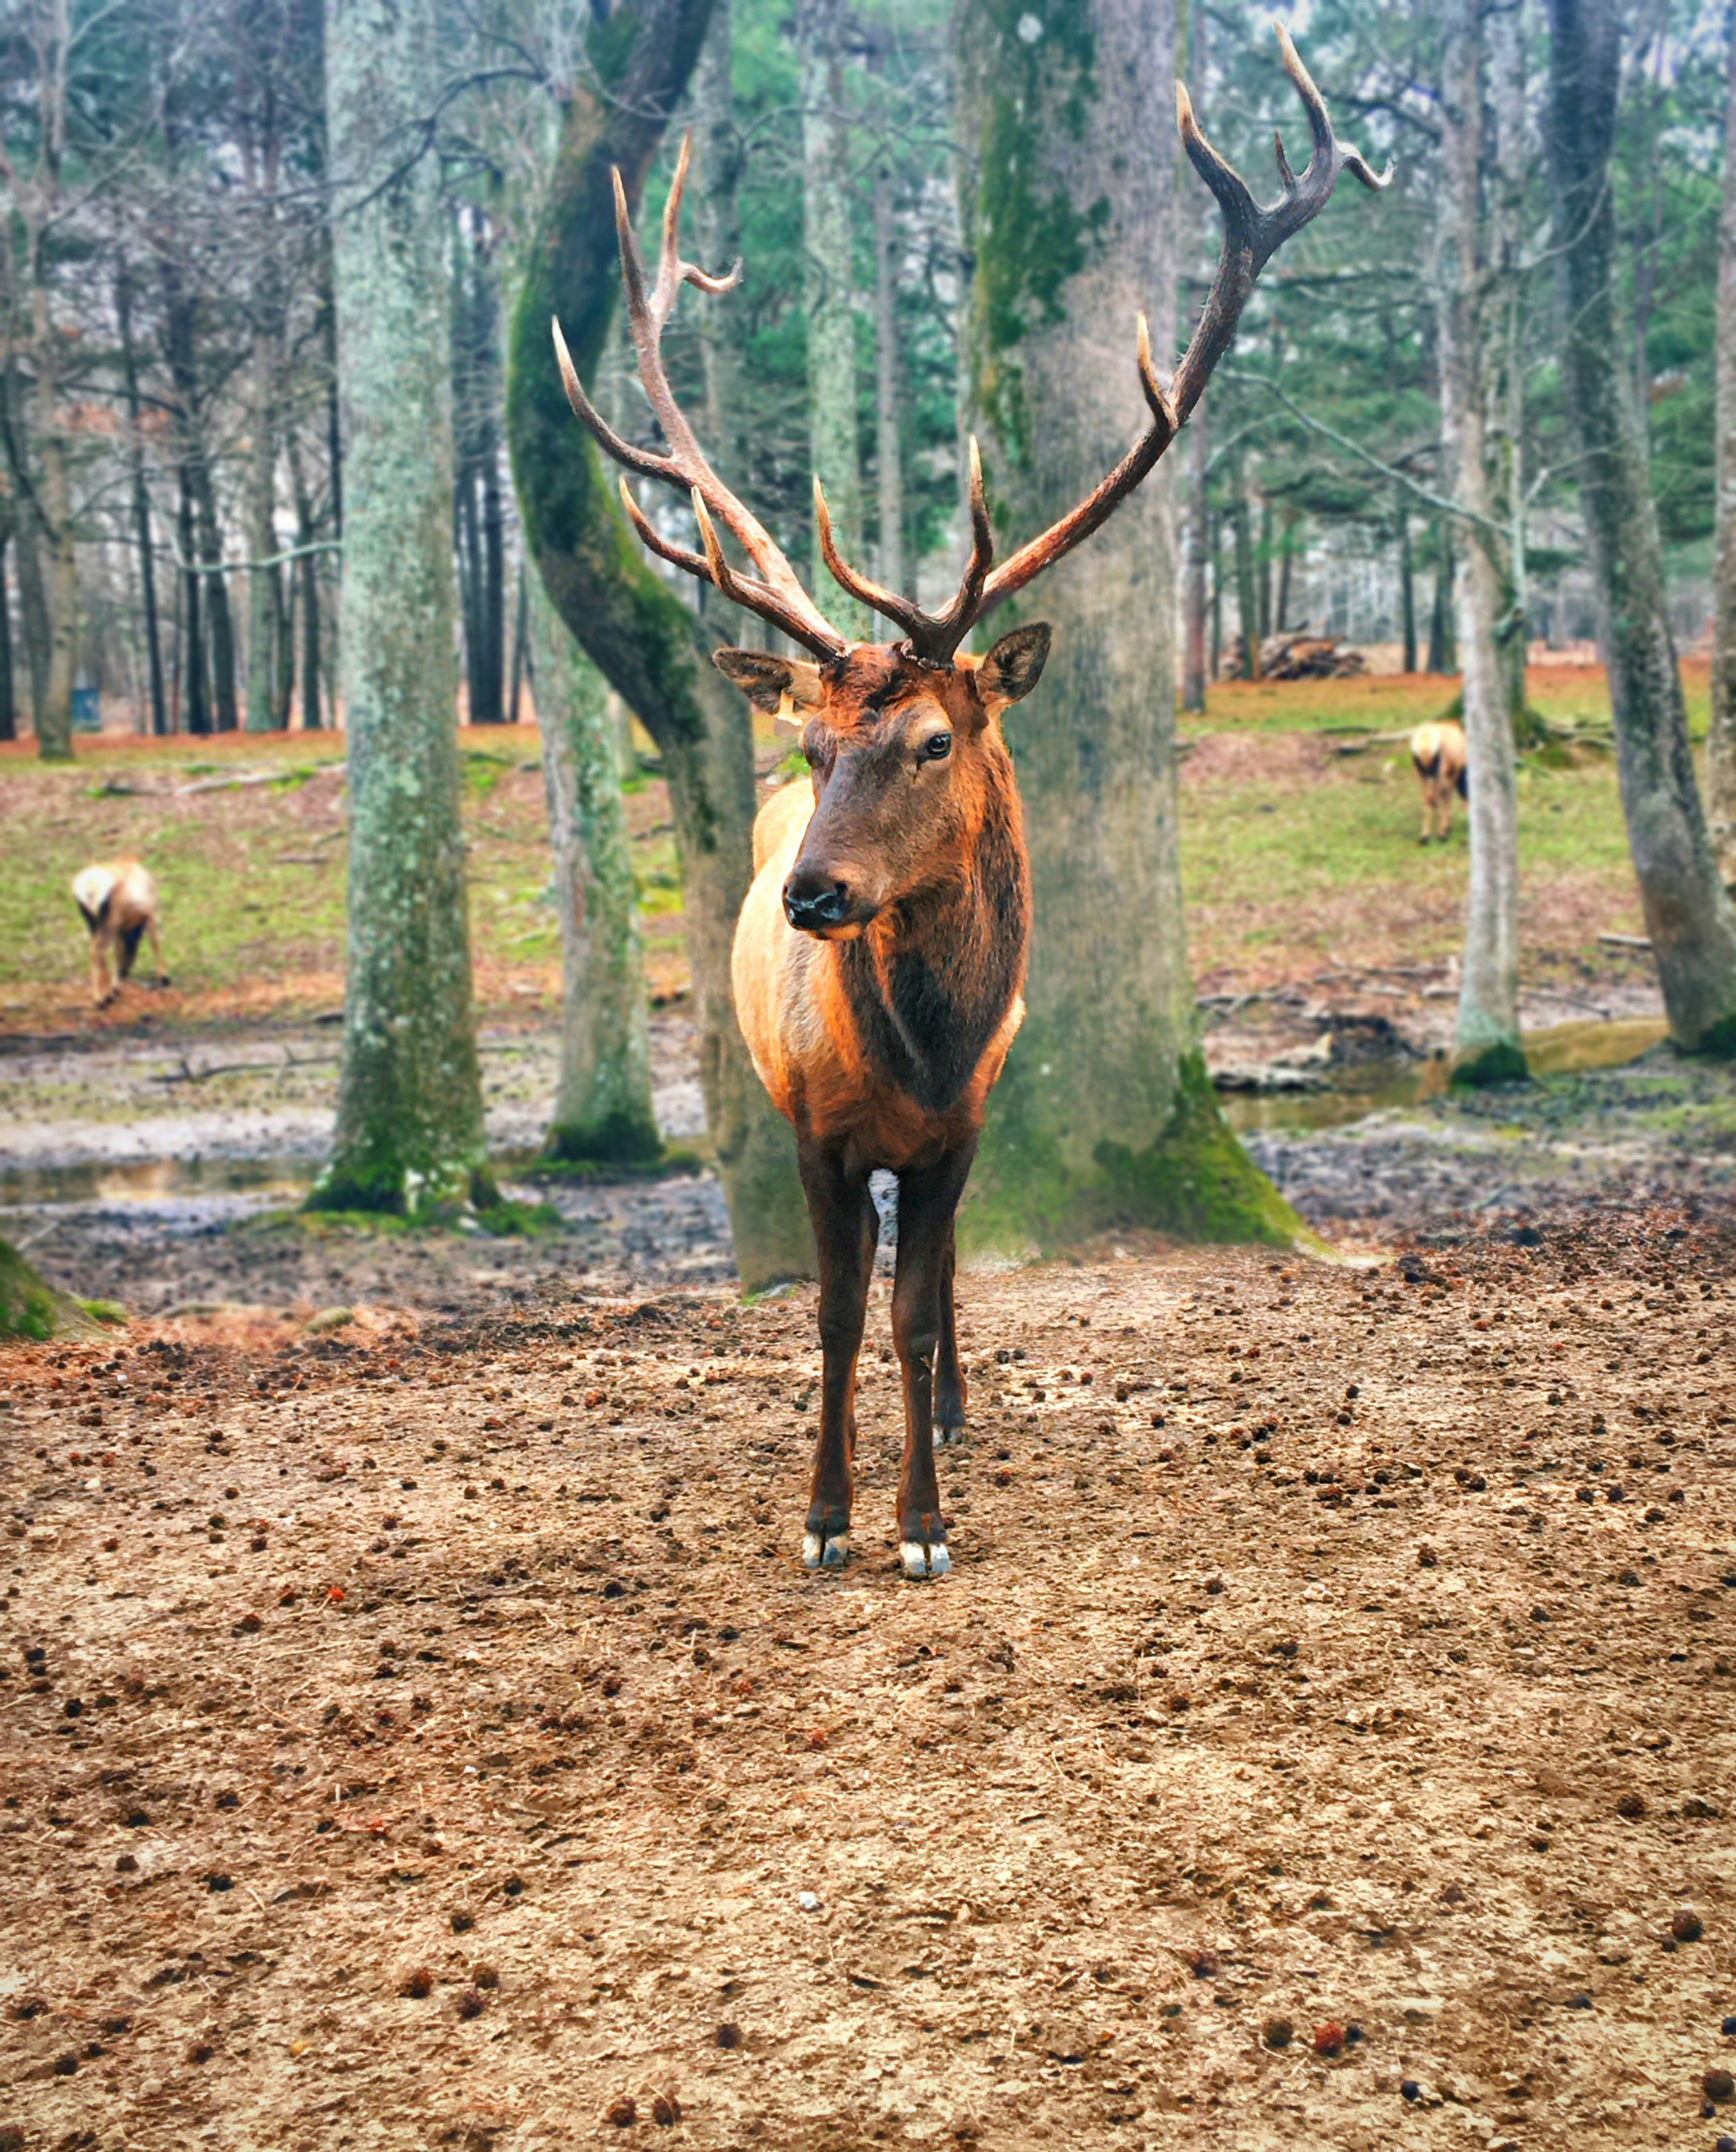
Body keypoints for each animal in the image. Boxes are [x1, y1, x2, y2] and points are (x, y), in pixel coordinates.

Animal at [553, 27, 1387, 1579]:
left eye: (935, 737)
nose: (811, 892)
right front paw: (826, 1515)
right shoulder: (814, 1129)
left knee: (936, 1295)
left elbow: (914, 1304)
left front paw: (924, 1520)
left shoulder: (963, 1131)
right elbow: (833, 1316)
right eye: (813, 744)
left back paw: (949, 1410)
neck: (916, 1058)